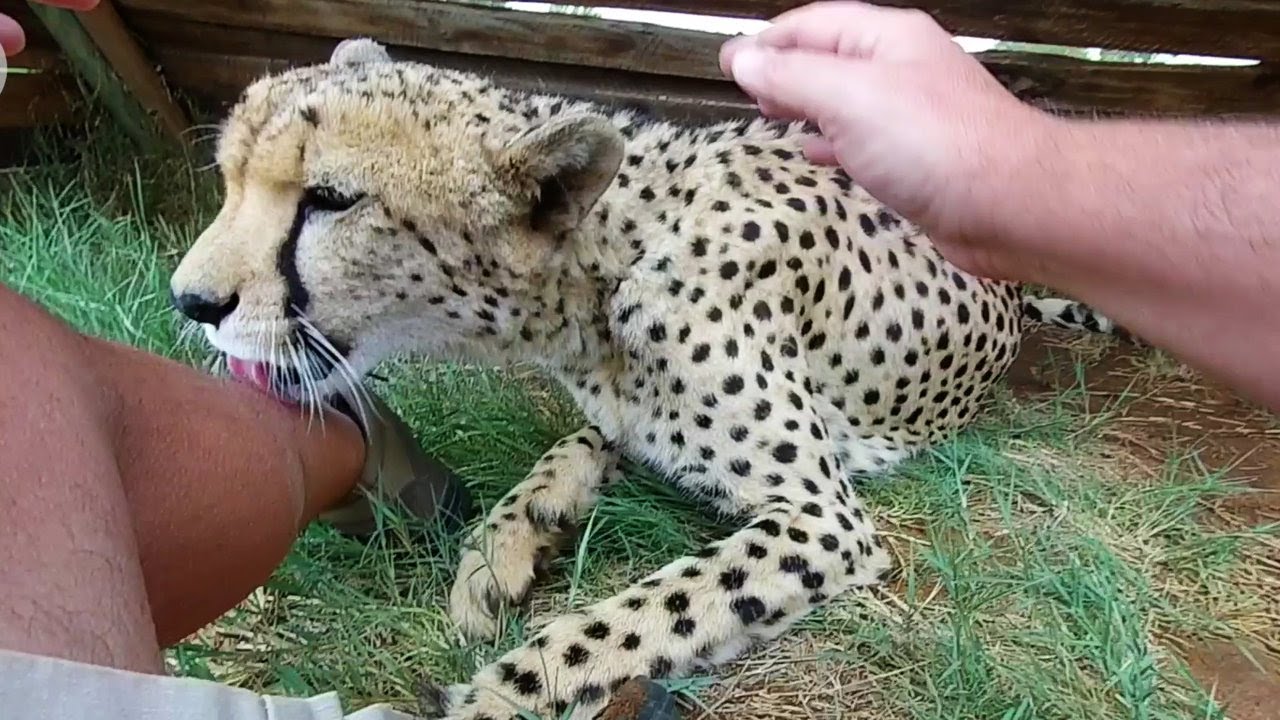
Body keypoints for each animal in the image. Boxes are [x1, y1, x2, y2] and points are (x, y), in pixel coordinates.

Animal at [168, 38, 1124, 719]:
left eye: (331, 199)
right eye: (229, 177)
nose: (190, 301)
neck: (609, 262)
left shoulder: (824, 521)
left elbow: (632, 619)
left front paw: (495, 693)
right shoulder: (620, 407)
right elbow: (573, 445)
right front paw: (500, 551)